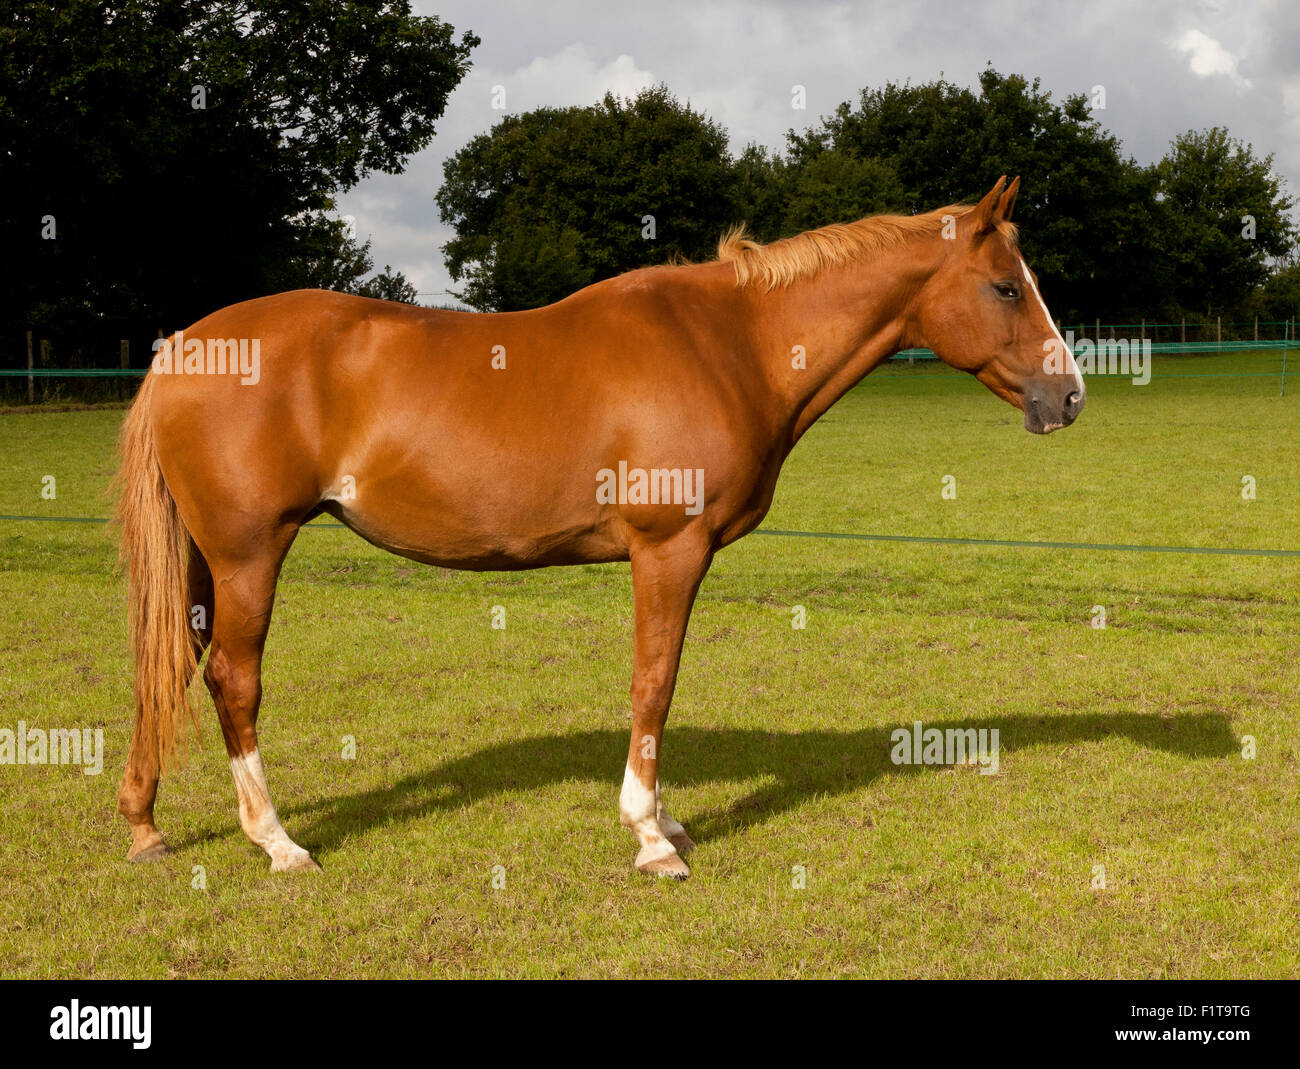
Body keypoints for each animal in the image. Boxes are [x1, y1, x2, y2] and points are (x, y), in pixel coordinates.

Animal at [114, 175, 1084, 879]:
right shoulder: (668, 551)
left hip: (205, 561)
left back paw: (146, 825)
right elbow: (655, 681)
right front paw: (651, 836)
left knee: (171, 664)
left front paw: (666, 820)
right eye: (1006, 286)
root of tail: (184, 349)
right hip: (249, 554)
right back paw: (276, 840)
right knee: (233, 680)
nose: (1068, 396)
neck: (730, 341)